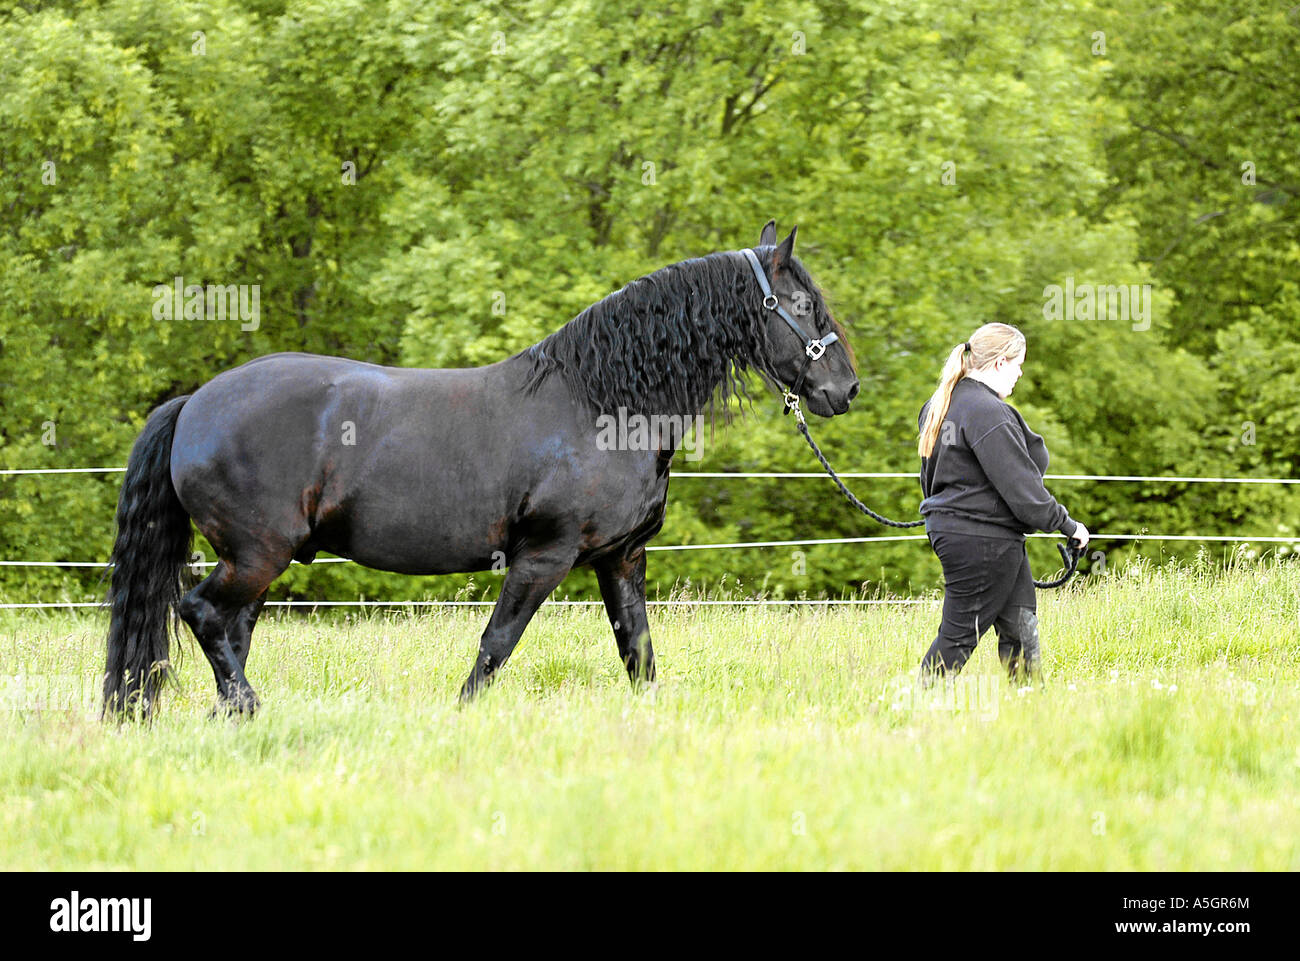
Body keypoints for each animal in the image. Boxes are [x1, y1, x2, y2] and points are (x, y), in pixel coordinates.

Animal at [102, 221, 860, 718]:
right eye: (801, 304)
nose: (845, 389)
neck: (599, 401)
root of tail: (196, 402)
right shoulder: (544, 556)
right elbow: (497, 644)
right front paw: (461, 714)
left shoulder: (621, 558)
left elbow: (637, 652)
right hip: (258, 554)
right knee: (202, 612)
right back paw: (248, 707)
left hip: (256, 561)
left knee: (229, 629)